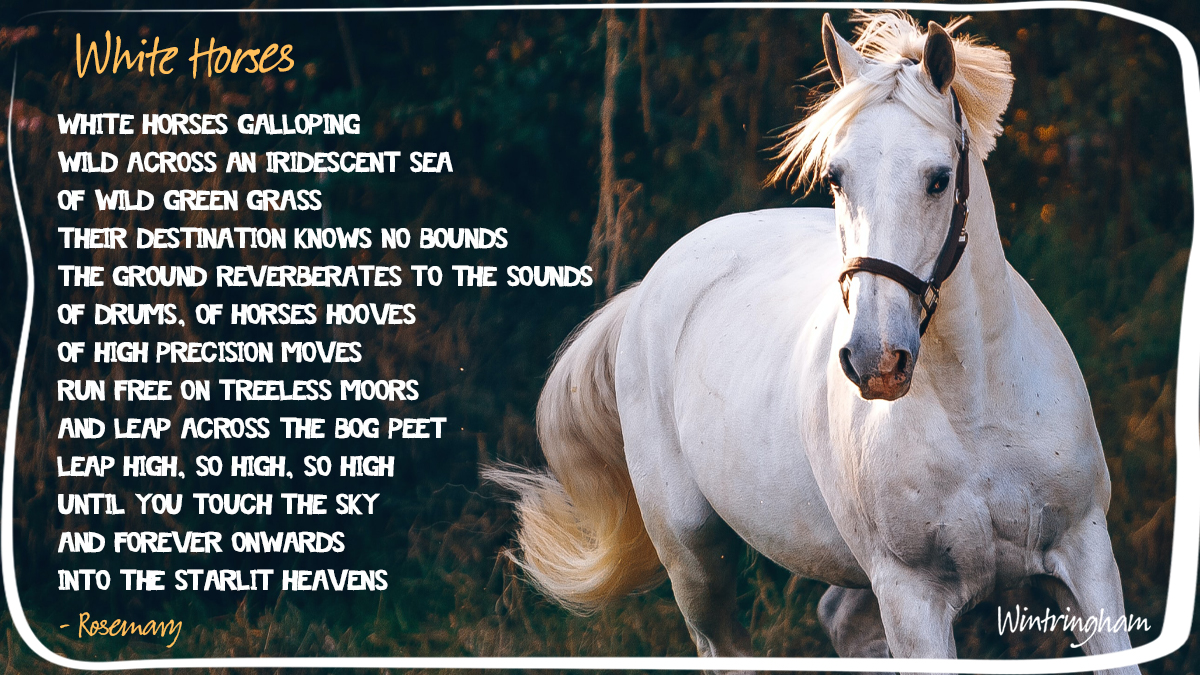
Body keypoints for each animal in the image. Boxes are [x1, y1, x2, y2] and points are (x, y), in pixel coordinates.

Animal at [488, 12, 1138, 674]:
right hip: (697, 557)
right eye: (835, 177)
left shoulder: (1085, 559)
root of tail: (650, 287)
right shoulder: (911, 596)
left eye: (939, 179)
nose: (876, 359)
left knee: (840, 622)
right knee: (724, 643)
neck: (976, 409)